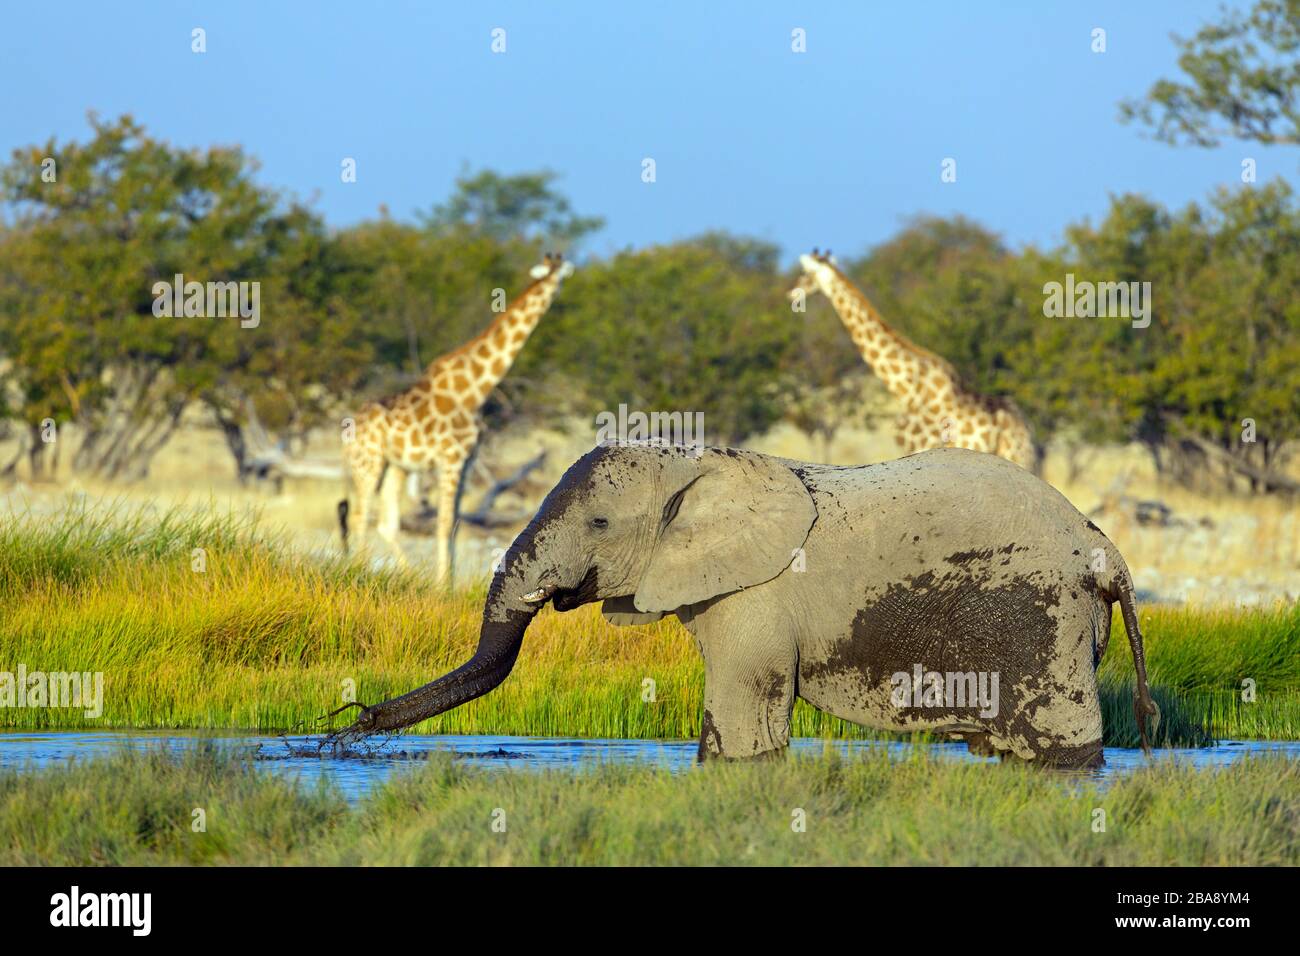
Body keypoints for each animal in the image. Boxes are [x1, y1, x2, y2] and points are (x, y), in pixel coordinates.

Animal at [337, 442, 1160, 769]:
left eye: (599, 524)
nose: (352, 724)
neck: (691, 462)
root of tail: (1103, 545)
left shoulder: (758, 592)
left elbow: (745, 713)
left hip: (1044, 619)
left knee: (1057, 735)